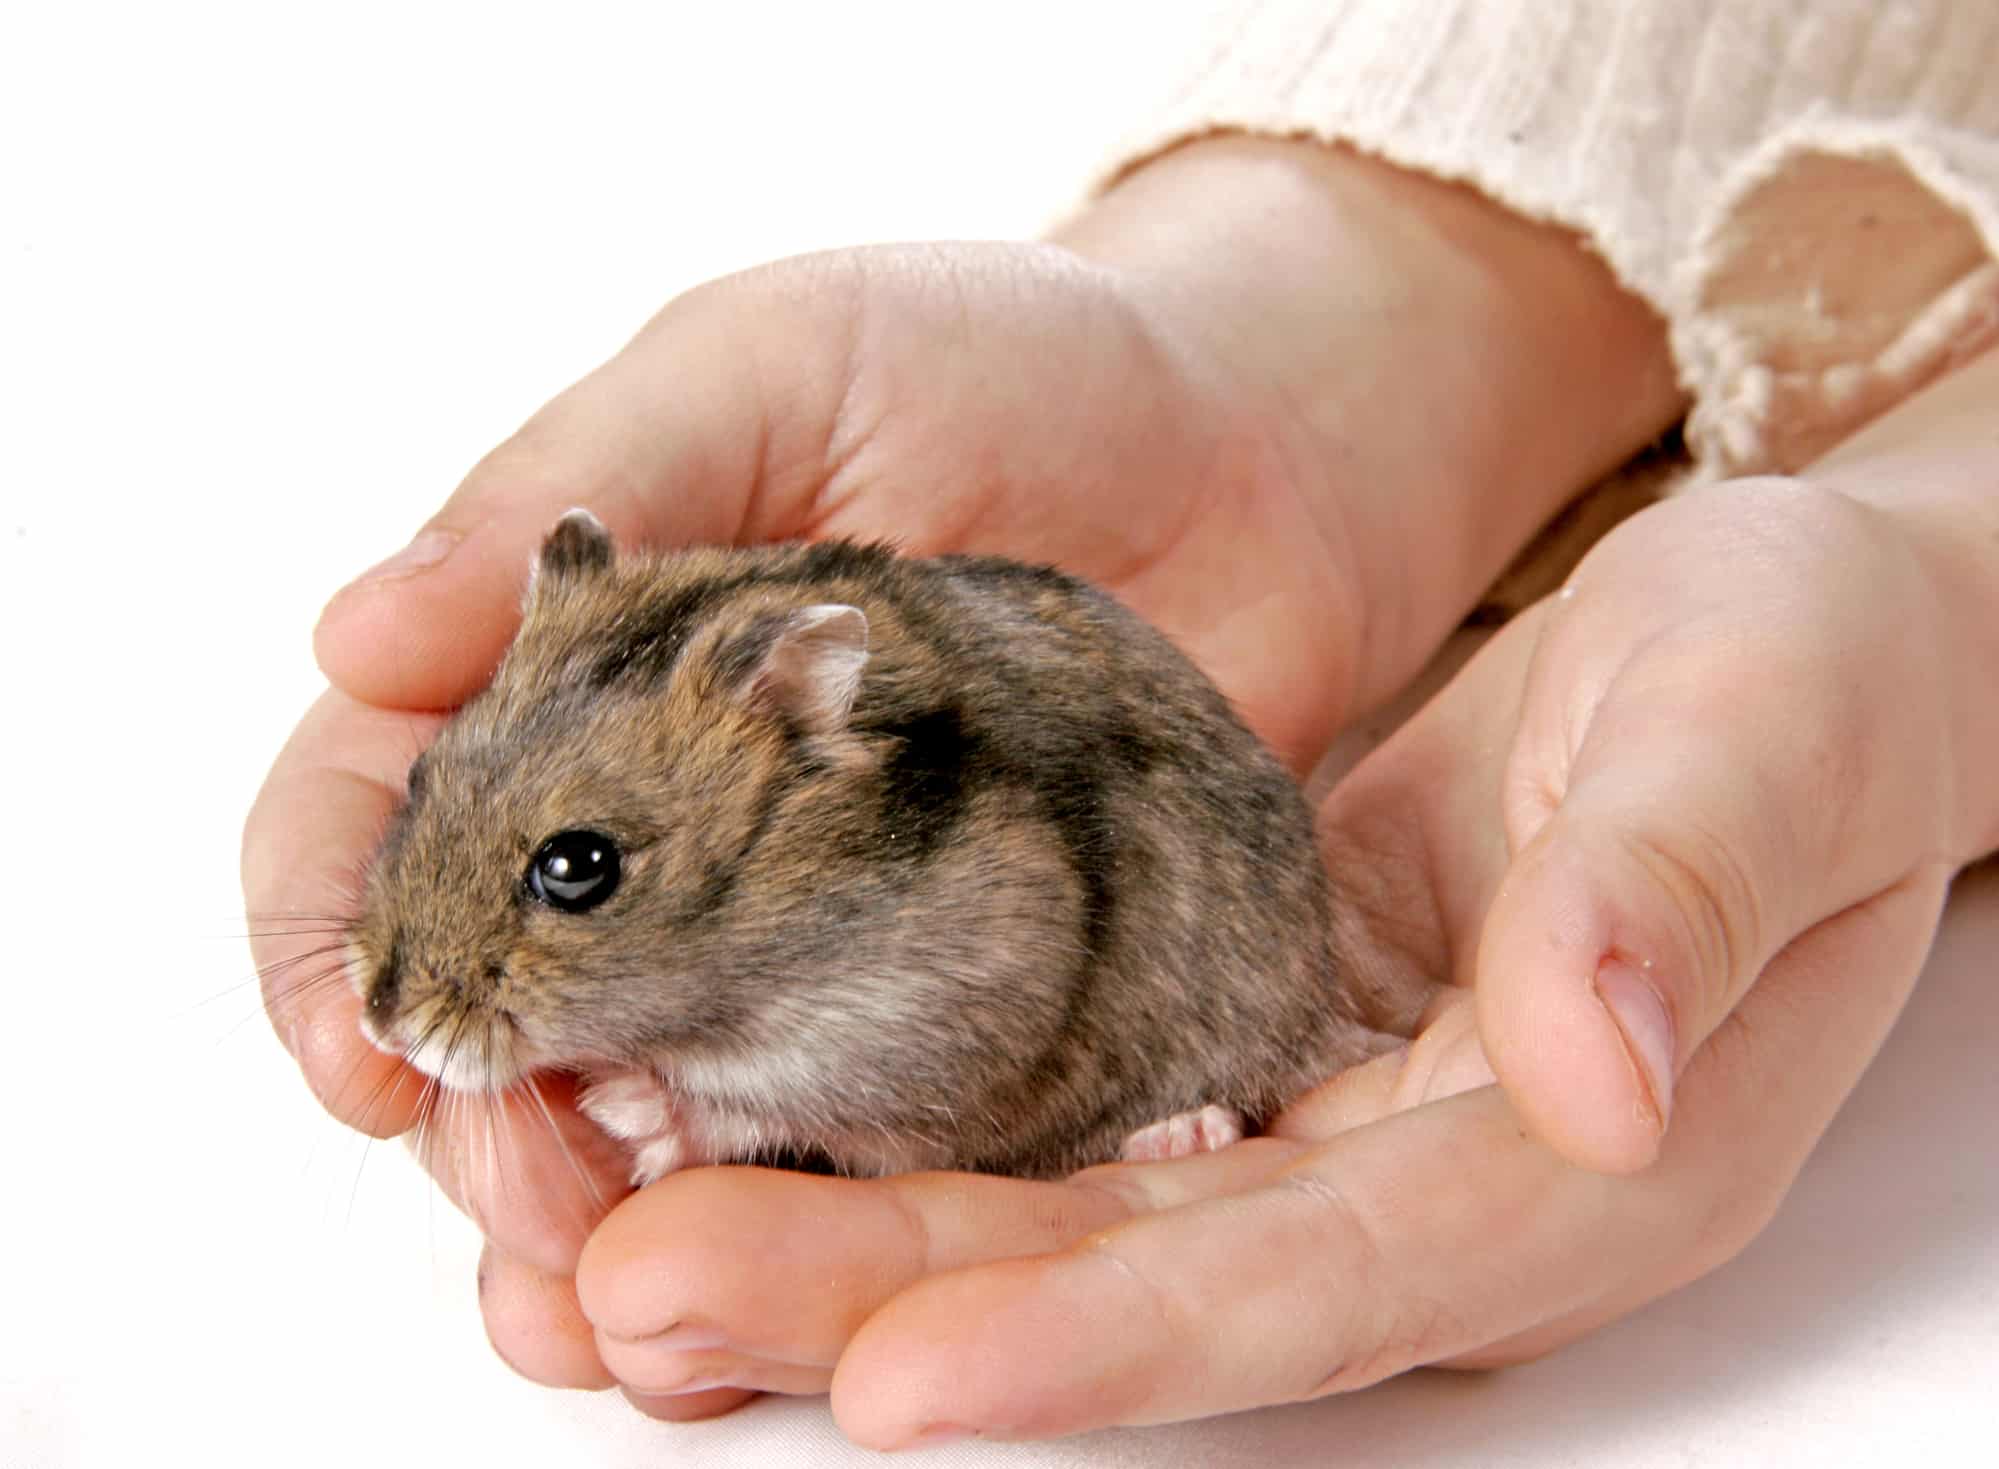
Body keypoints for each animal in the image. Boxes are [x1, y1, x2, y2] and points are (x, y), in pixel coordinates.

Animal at [348, 509, 1413, 1183]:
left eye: (577, 867)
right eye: (420, 774)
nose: (380, 1026)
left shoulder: (921, 1022)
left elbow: (764, 1107)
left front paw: (624, 1108)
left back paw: (1181, 1133)